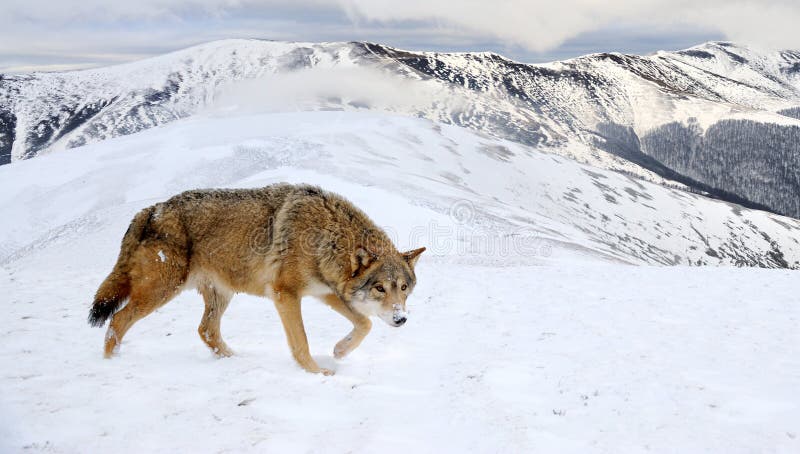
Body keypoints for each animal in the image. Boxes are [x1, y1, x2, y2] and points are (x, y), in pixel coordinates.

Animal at [88, 183, 425, 375]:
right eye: (380, 288)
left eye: (403, 288)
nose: (401, 319)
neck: (326, 236)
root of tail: (149, 210)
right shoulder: (284, 294)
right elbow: (301, 343)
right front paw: (316, 373)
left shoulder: (325, 291)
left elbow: (364, 323)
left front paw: (340, 351)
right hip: (162, 291)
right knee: (117, 320)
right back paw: (111, 364)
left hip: (220, 295)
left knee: (206, 330)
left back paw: (234, 360)